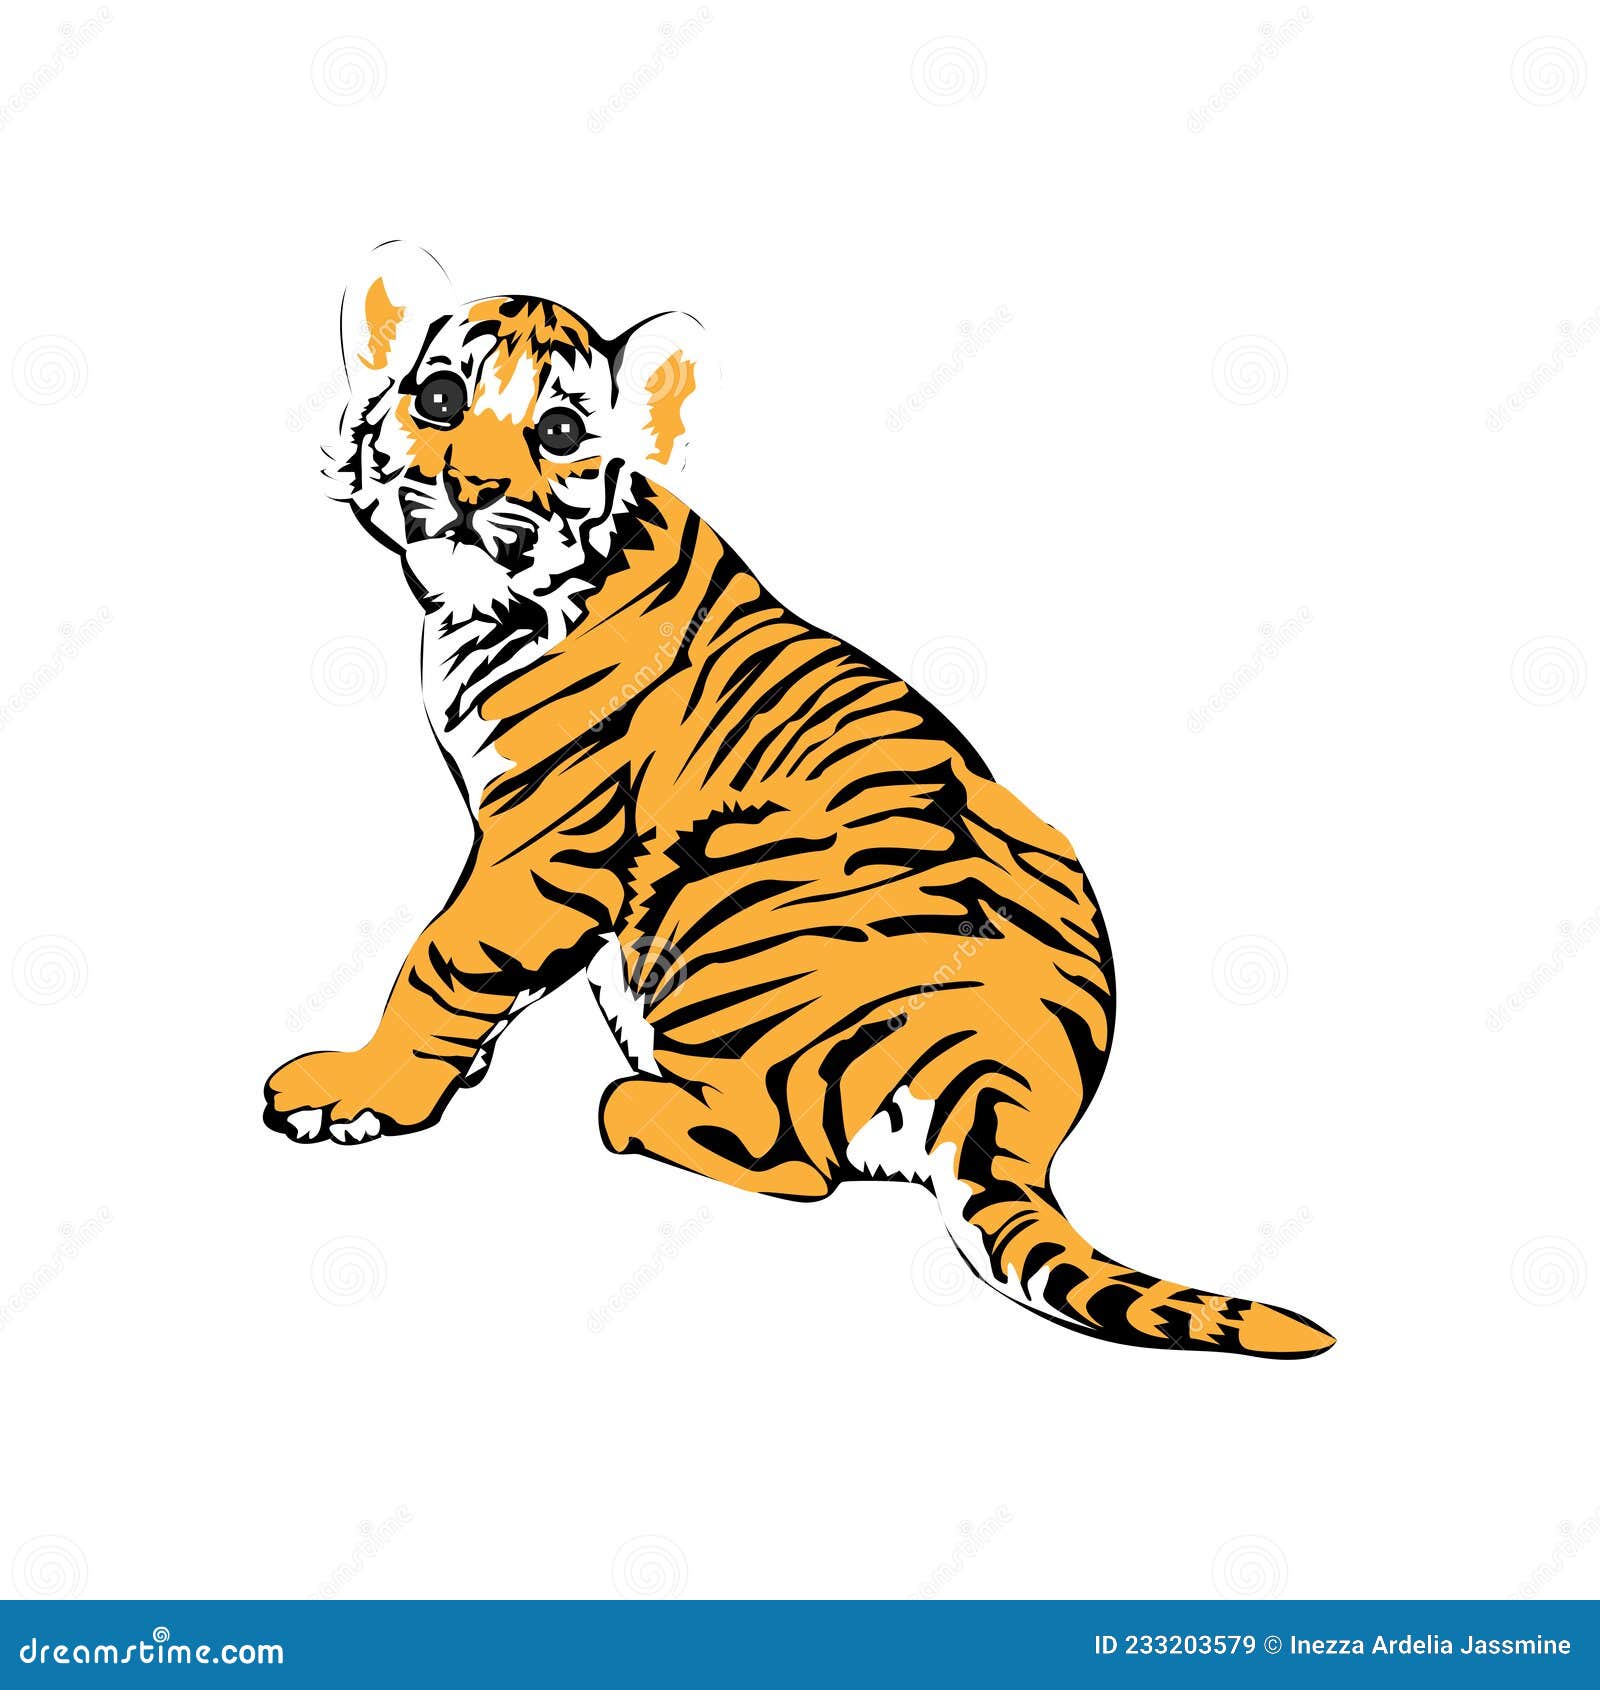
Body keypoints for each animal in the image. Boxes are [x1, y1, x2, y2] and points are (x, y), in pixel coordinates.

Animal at [265, 240, 1335, 1359]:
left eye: (558, 433)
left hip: (721, 890)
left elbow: (445, 958)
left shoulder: (550, 842)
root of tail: (1010, 1089)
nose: (472, 486)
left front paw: (358, 1090)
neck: (481, 608)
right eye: (439, 399)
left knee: (791, 1157)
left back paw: (632, 1105)